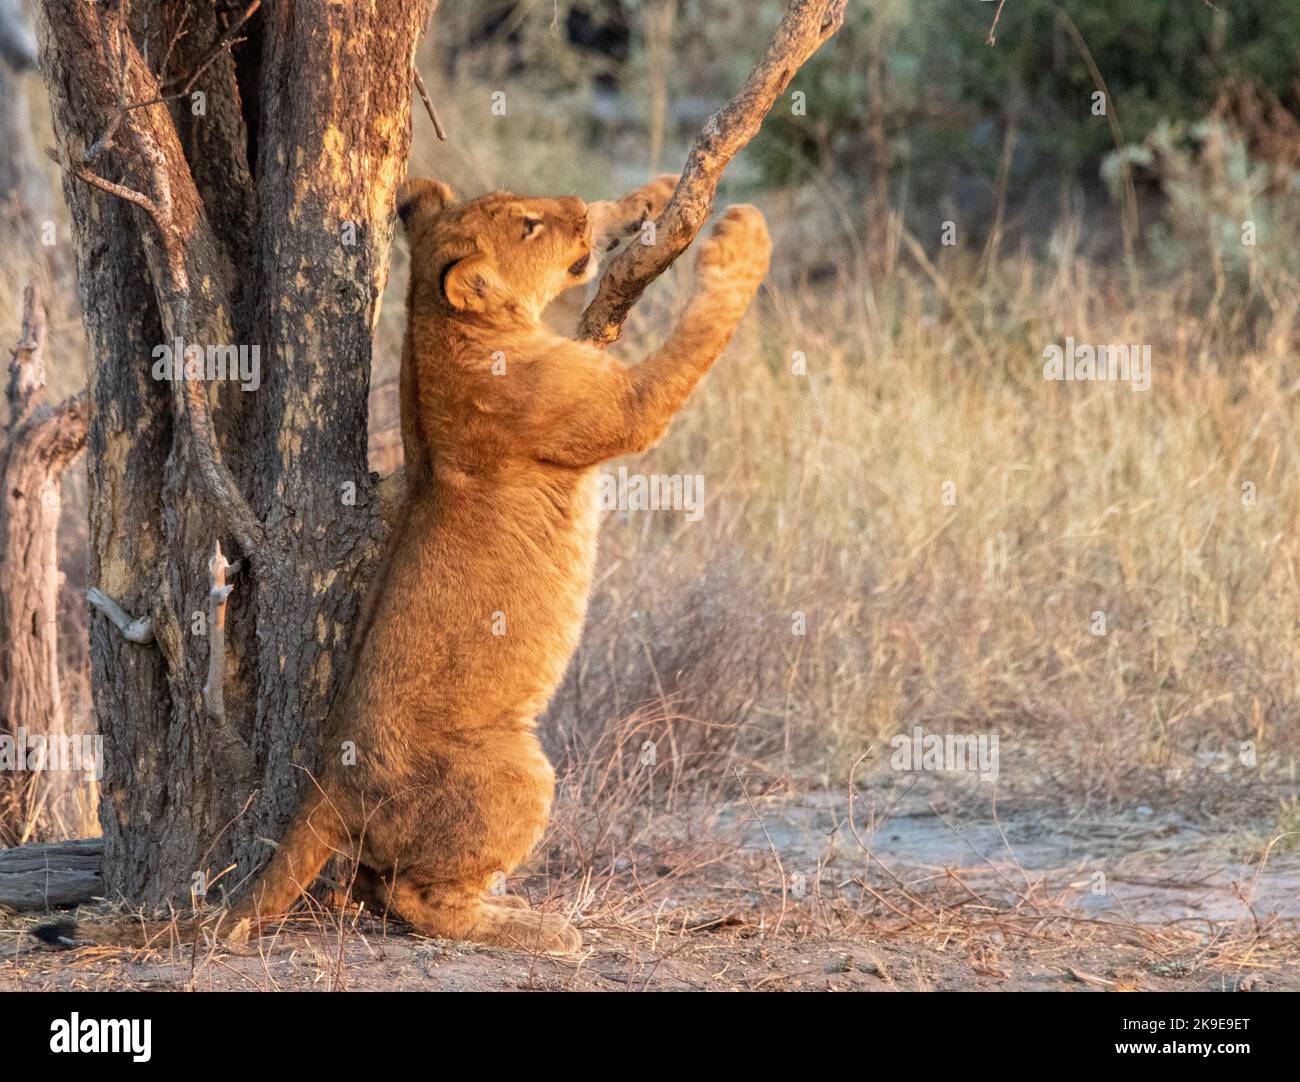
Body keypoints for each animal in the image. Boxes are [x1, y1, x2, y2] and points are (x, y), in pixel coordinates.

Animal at [37, 176, 770, 955]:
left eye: (537, 205)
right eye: (530, 225)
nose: (573, 209)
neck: (431, 325)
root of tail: (327, 783)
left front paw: (649, 197)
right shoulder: (621, 405)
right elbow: (695, 339)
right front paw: (741, 243)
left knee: (372, 884)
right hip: (517, 769)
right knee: (414, 896)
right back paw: (532, 928)